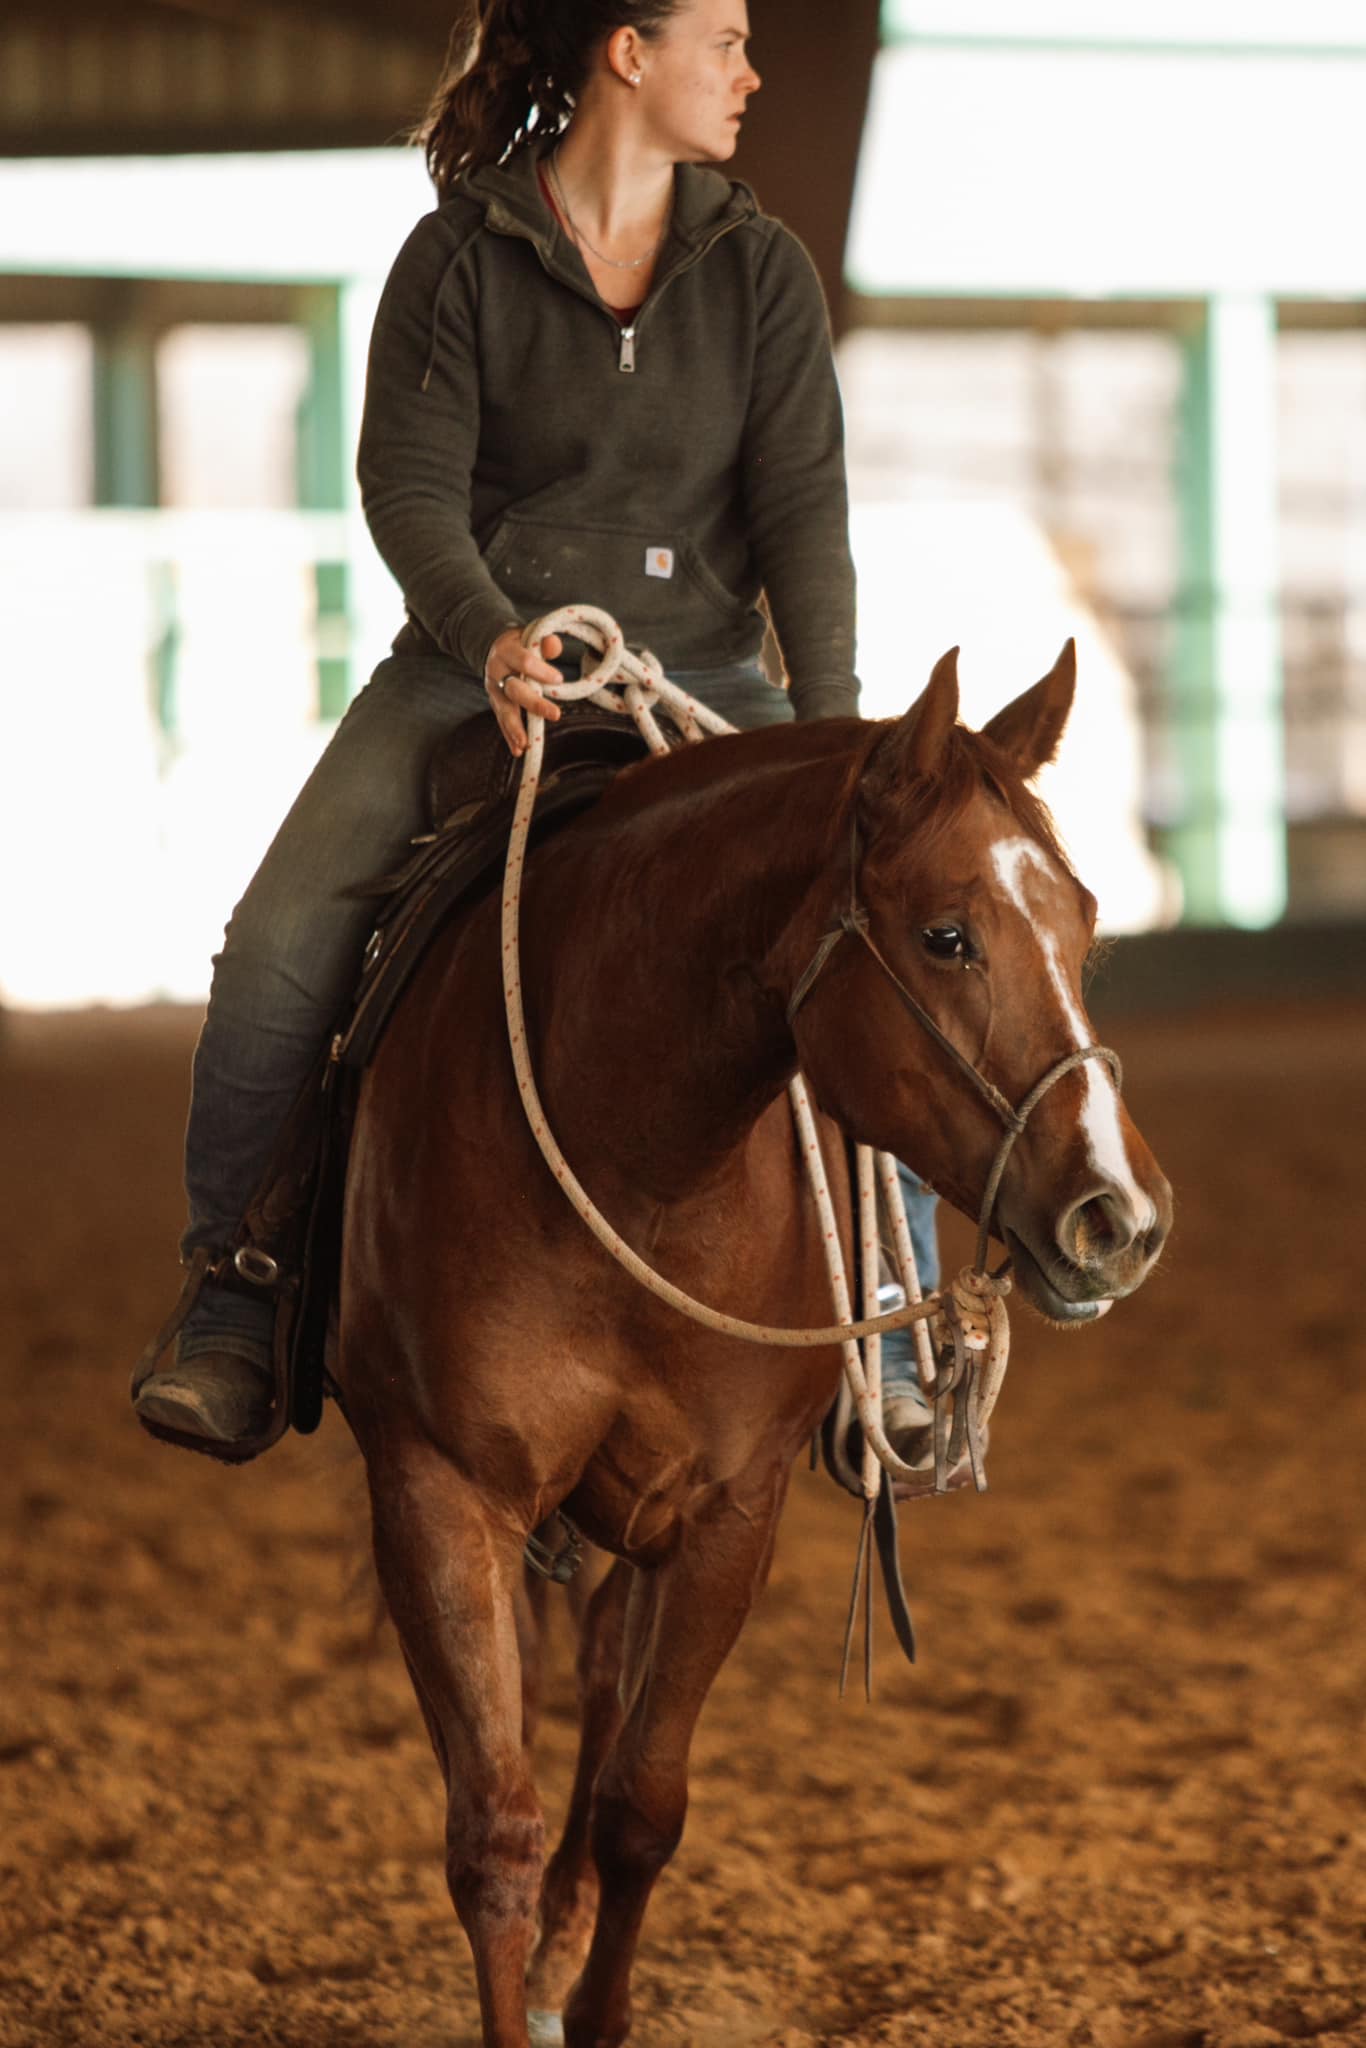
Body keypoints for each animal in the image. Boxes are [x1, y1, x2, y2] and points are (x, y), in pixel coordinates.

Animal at [336, 641, 1172, 2048]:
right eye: (946, 935)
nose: (1120, 1216)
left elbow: (642, 1801)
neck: (634, 1158)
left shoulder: (727, 1507)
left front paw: (590, 1995)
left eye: (1085, 922)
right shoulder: (438, 1488)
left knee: (603, 1683)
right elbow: (490, 1826)